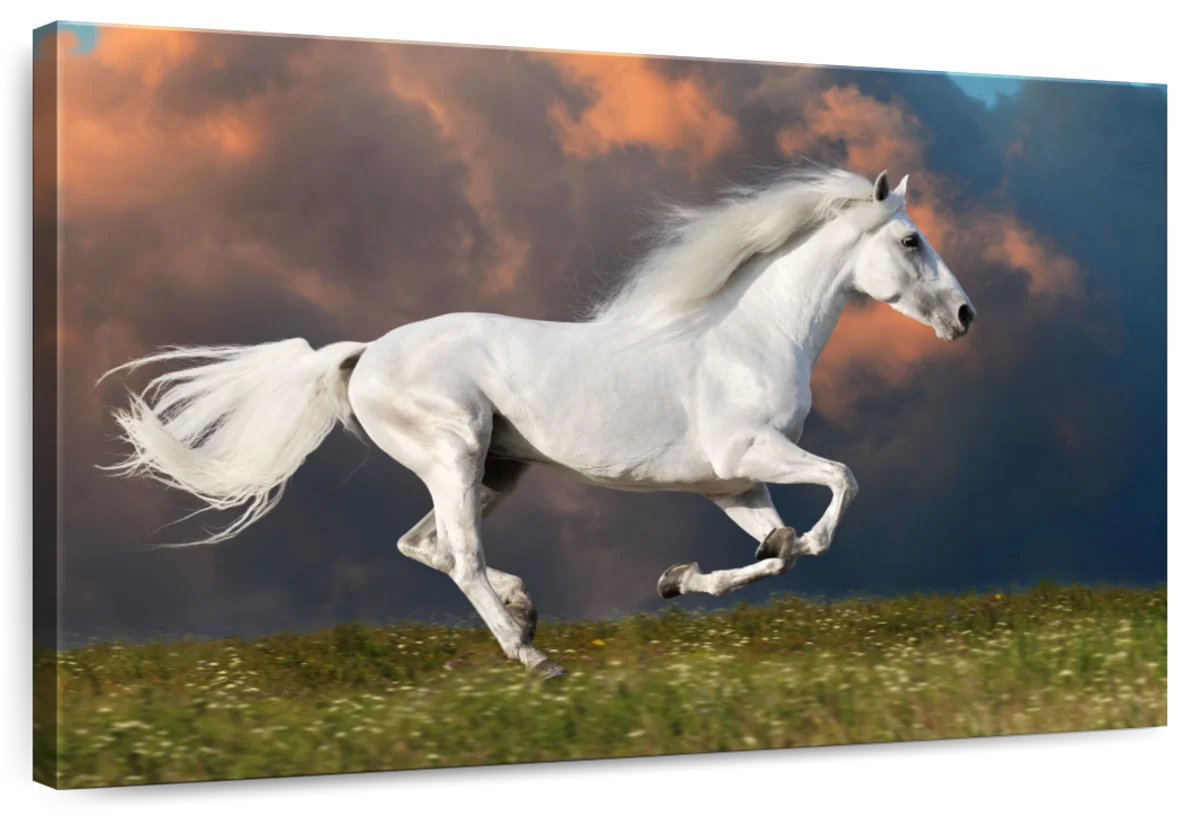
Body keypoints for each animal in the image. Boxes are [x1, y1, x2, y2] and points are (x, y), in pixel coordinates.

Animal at [105, 167, 975, 679]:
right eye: (910, 239)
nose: (965, 316)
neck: (745, 336)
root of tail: (363, 355)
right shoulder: (753, 452)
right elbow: (837, 492)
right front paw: (731, 562)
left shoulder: (730, 481)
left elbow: (777, 553)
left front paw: (679, 578)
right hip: (455, 455)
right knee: (457, 555)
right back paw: (532, 654)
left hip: (496, 469)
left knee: (423, 545)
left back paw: (524, 607)